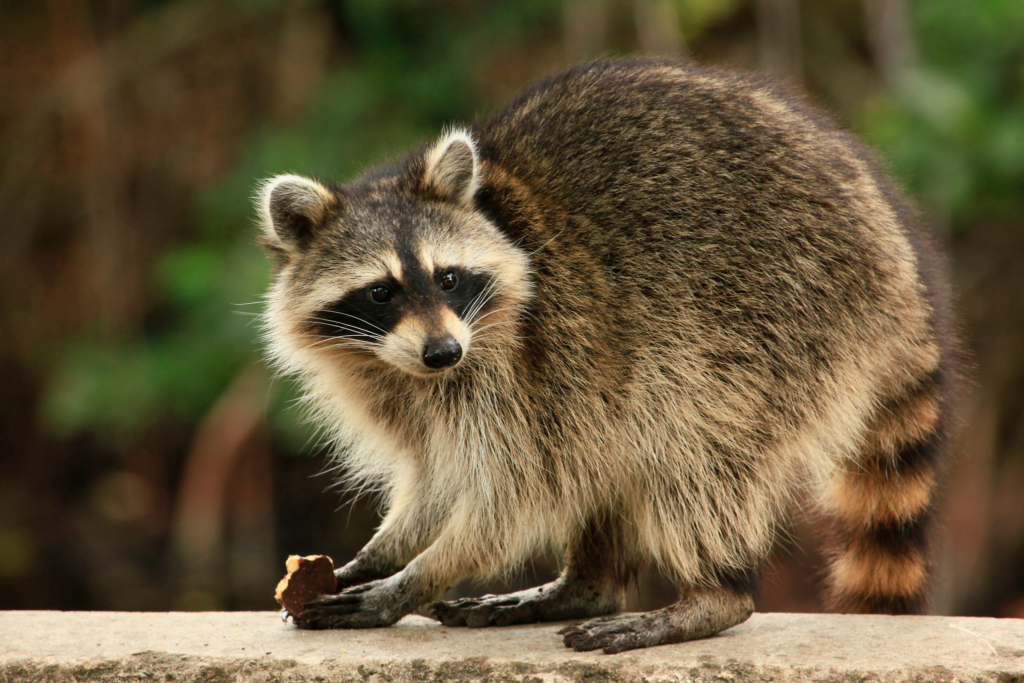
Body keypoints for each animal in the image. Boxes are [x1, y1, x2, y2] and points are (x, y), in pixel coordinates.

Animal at [256, 58, 958, 653]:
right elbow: (437, 476)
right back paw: (585, 586)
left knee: (693, 441)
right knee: (612, 449)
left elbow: (509, 494)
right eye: (381, 292)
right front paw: (384, 550)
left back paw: (713, 594)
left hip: (782, 315)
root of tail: (897, 253)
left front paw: (414, 579)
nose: (443, 352)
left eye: (447, 278)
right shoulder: (405, 386)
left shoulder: (525, 361)